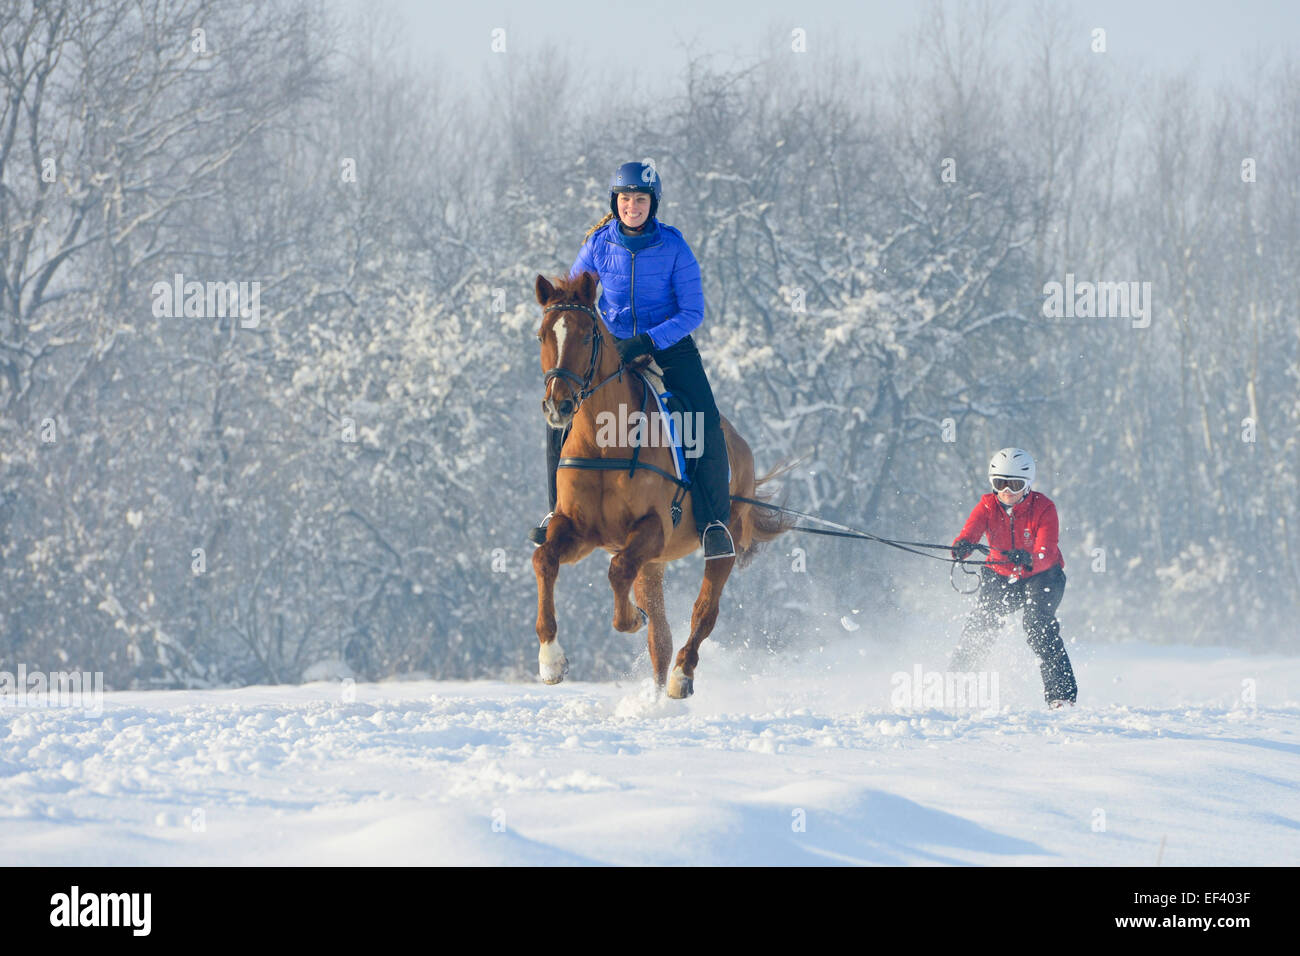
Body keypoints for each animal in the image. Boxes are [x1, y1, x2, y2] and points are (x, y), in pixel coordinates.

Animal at [530, 273, 790, 697]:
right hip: (652, 564)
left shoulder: (652, 528)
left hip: (719, 542)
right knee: (661, 639)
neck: (605, 443)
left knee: (704, 610)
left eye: (586, 336)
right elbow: (544, 560)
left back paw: (681, 676)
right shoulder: (578, 530)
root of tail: (742, 448)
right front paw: (551, 660)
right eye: (542, 335)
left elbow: (618, 570)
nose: (559, 406)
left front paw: (631, 619)